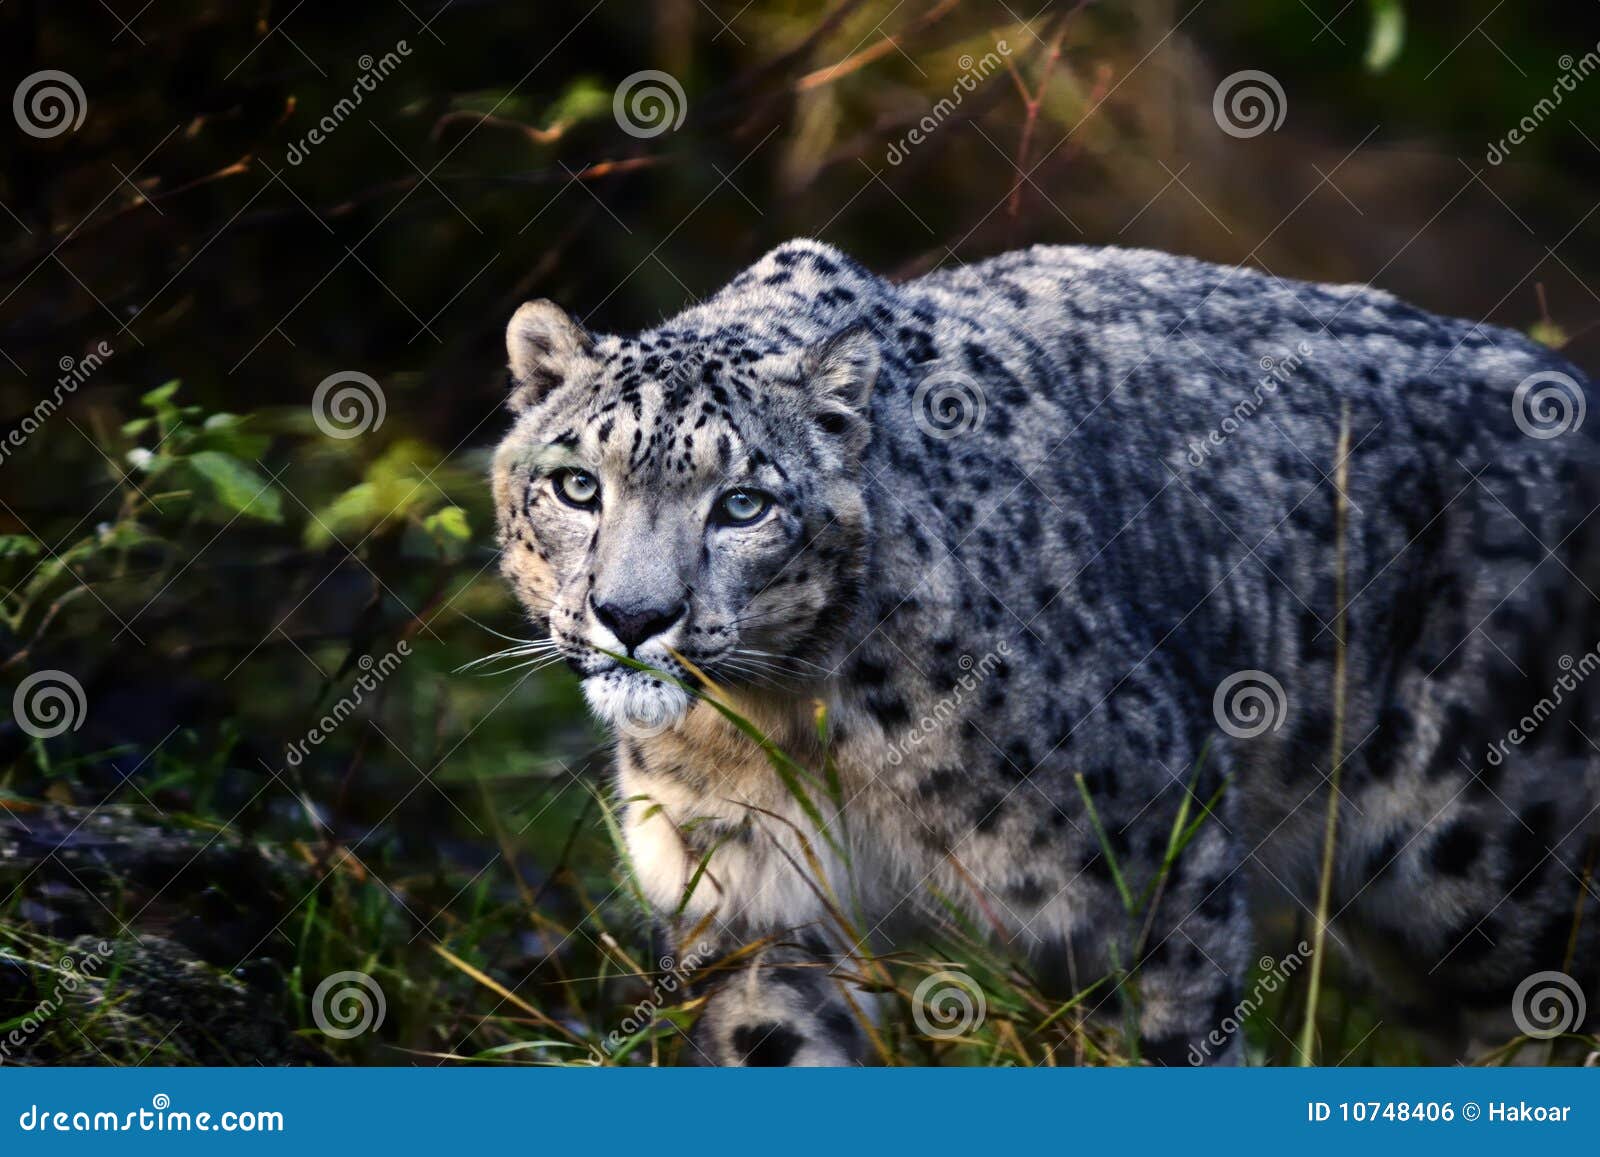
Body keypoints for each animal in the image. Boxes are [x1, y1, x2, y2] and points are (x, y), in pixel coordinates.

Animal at [491, 237, 1600, 1066]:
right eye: (577, 485)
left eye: (743, 504)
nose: (633, 613)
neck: (788, 730)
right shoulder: (756, 913)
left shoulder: (1146, 877)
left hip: (1491, 863)